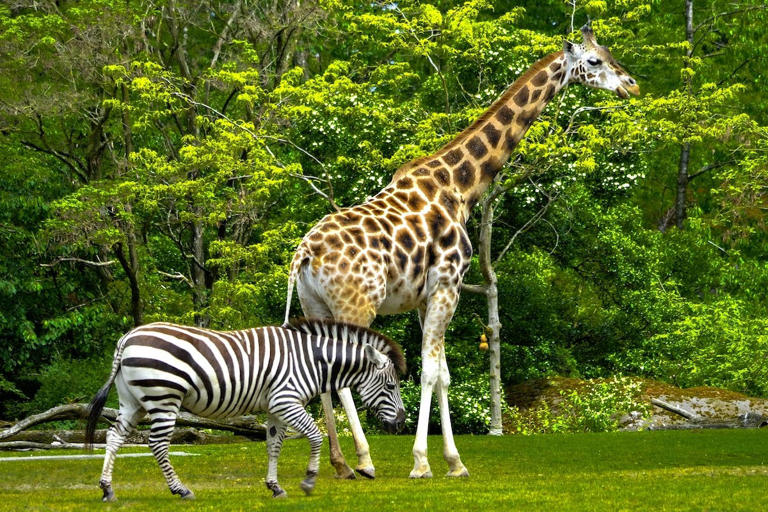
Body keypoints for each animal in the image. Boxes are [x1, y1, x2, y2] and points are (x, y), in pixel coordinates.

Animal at [85, 318, 406, 501]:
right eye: (391, 386)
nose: (402, 424)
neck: (311, 361)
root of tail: (127, 338)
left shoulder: (275, 407)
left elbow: (274, 446)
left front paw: (275, 487)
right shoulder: (287, 400)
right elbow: (315, 437)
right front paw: (308, 481)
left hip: (133, 402)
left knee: (114, 437)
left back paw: (107, 489)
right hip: (163, 397)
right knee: (158, 444)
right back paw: (180, 490)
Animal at [284, 23, 639, 479]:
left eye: (610, 53)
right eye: (594, 61)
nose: (630, 85)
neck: (462, 185)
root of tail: (303, 256)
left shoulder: (426, 296)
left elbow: (444, 374)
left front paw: (454, 462)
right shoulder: (448, 285)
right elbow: (430, 371)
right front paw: (422, 463)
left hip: (315, 305)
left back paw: (340, 463)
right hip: (356, 304)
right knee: (341, 373)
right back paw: (363, 460)